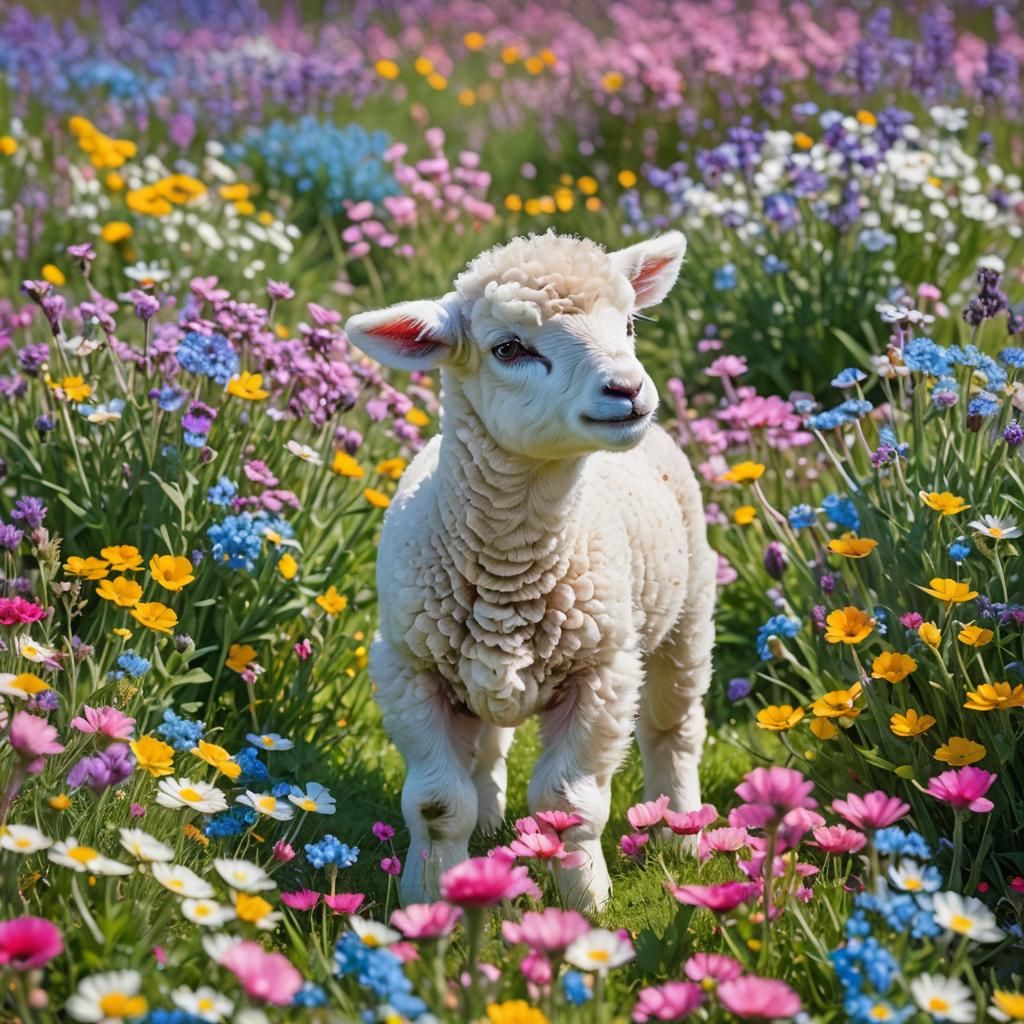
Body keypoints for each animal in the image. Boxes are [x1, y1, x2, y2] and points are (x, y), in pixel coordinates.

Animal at [345, 230, 715, 911]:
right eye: (509, 349)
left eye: (628, 323)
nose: (628, 389)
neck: (510, 564)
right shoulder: (408, 670)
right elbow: (438, 804)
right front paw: (429, 895)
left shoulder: (603, 673)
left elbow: (569, 802)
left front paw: (586, 901)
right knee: (489, 744)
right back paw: (490, 818)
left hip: (690, 609)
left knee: (674, 727)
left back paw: (680, 831)